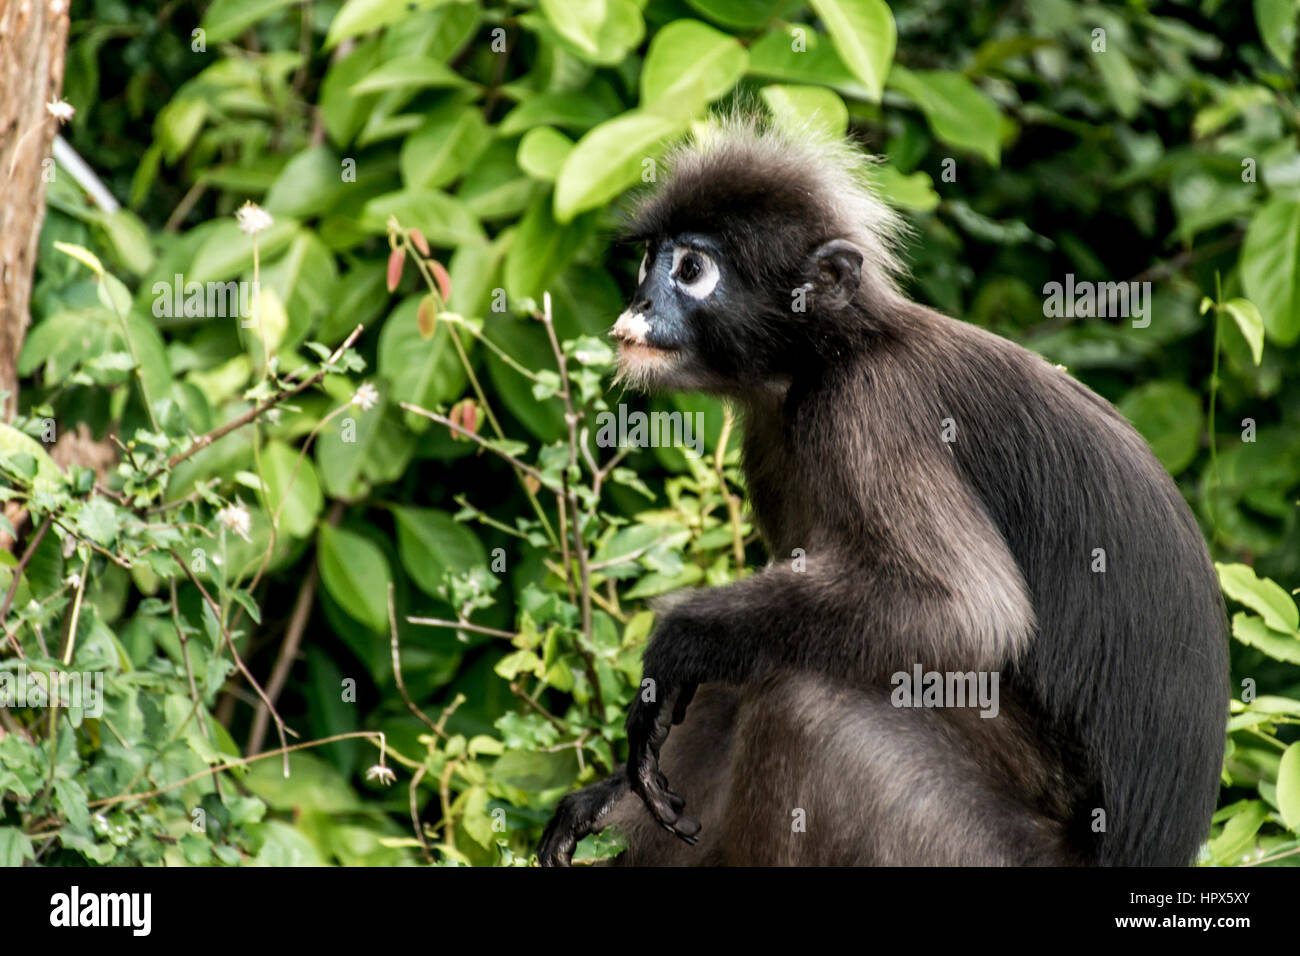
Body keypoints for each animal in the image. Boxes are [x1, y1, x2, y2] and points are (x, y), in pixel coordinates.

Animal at [536, 118, 1228, 867]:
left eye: (691, 269)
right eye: (650, 260)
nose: (640, 303)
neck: (826, 357)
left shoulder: (872, 407)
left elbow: (968, 611)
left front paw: (678, 641)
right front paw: (609, 793)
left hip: (967, 845)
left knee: (806, 705)